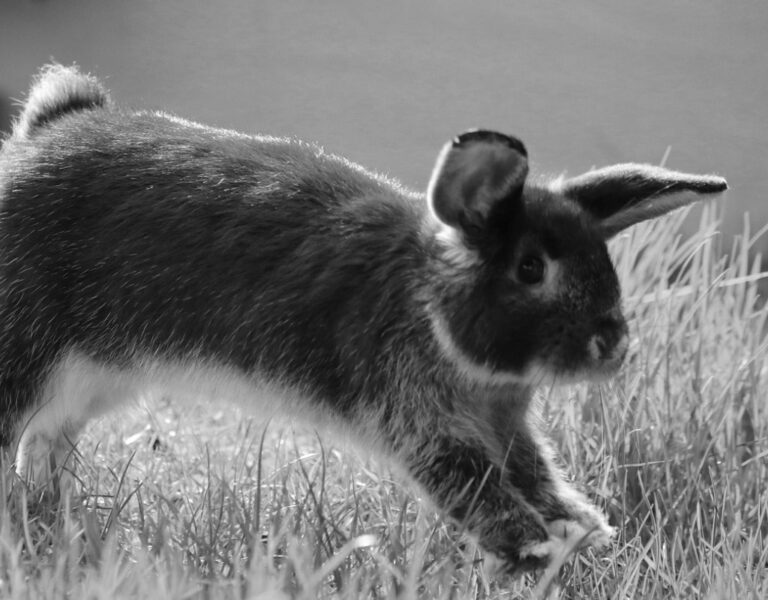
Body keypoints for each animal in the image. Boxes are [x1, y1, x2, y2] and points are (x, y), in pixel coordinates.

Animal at [0, 64, 727, 572]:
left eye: (601, 257)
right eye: (529, 268)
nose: (614, 346)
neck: (426, 300)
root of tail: (36, 141)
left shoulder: (503, 422)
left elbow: (532, 472)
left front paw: (582, 530)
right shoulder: (421, 421)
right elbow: (474, 485)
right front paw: (533, 548)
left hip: (90, 379)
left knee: (46, 441)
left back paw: (48, 516)